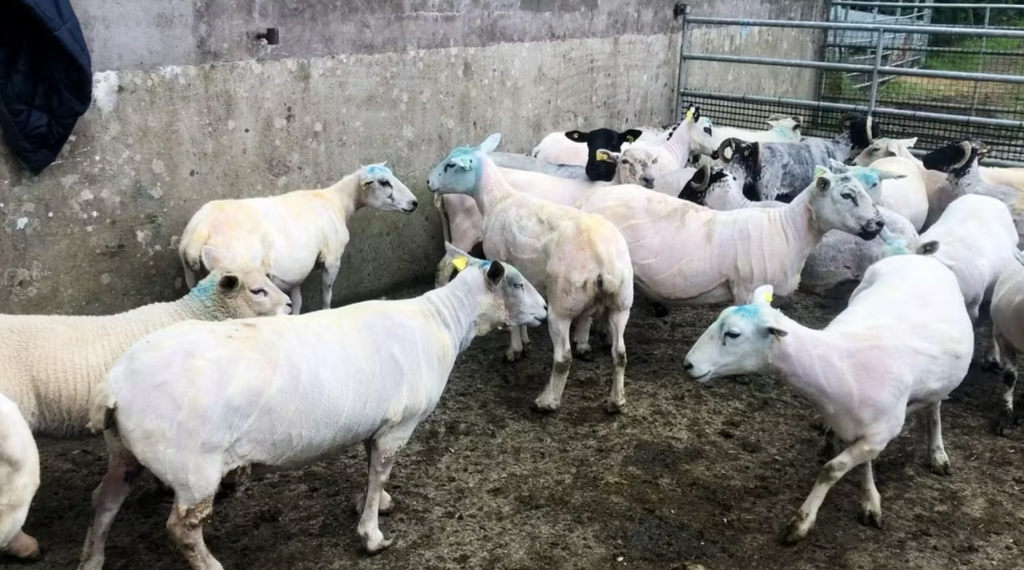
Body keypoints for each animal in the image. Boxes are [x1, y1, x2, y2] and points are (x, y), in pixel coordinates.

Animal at [76, 244, 549, 570]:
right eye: (518, 283)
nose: (545, 308)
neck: (442, 321)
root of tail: (115, 384)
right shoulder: (400, 425)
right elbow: (380, 471)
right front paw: (372, 534)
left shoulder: (379, 423)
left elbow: (371, 467)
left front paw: (377, 502)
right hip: (193, 469)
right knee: (182, 529)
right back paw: (210, 565)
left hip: (126, 450)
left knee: (105, 499)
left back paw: (92, 559)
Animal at [178, 163, 418, 314]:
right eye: (384, 182)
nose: (414, 203)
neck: (338, 202)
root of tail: (199, 231)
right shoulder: (332, 259)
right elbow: (326, 295)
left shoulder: (296, 272)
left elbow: (297, 301)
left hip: (193, 278)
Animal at [428, 133, 635, 414]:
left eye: (451, 165)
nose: (429, 182)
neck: (498, 198)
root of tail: (604, 260)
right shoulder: (521, 270)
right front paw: (524, 340)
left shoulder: (500, 261)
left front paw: (514, 349)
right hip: (621, 303)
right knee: (620, 354)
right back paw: (616, 401)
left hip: (563, 304)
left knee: (563, 358)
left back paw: (547, 401)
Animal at [682, 254, 974, 544]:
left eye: (733, 334)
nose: (688, 365)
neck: (838, 365)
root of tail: (919, 256)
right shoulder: (860, 431)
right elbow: (862, 464)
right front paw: (869, 500)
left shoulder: (879, 433)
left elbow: (831, 470)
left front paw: (802, 522)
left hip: (940, 382)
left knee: (934, 407)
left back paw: (937, 453)